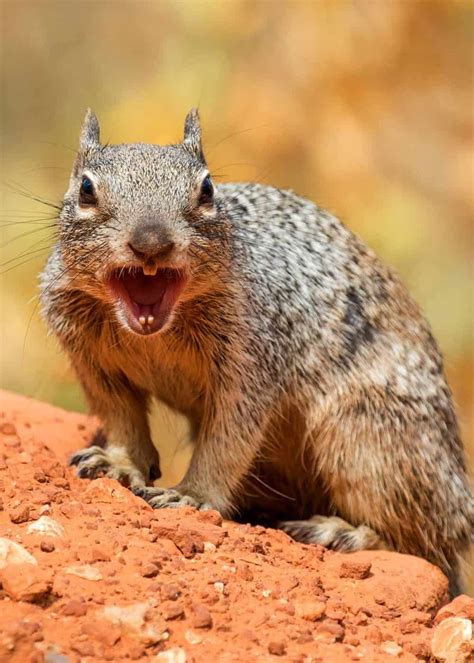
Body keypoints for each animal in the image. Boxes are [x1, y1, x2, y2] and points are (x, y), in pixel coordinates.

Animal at [40, 108, 473, 595]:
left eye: (207, 189)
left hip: (365, 444)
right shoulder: (93, 364)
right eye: (86, 189)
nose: (151, 243)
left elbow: (229, 439)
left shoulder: (251, 363)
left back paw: (339, 531)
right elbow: (121, 418)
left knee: (421, 544)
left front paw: (190, 495)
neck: (154, 334)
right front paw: (117, 462)